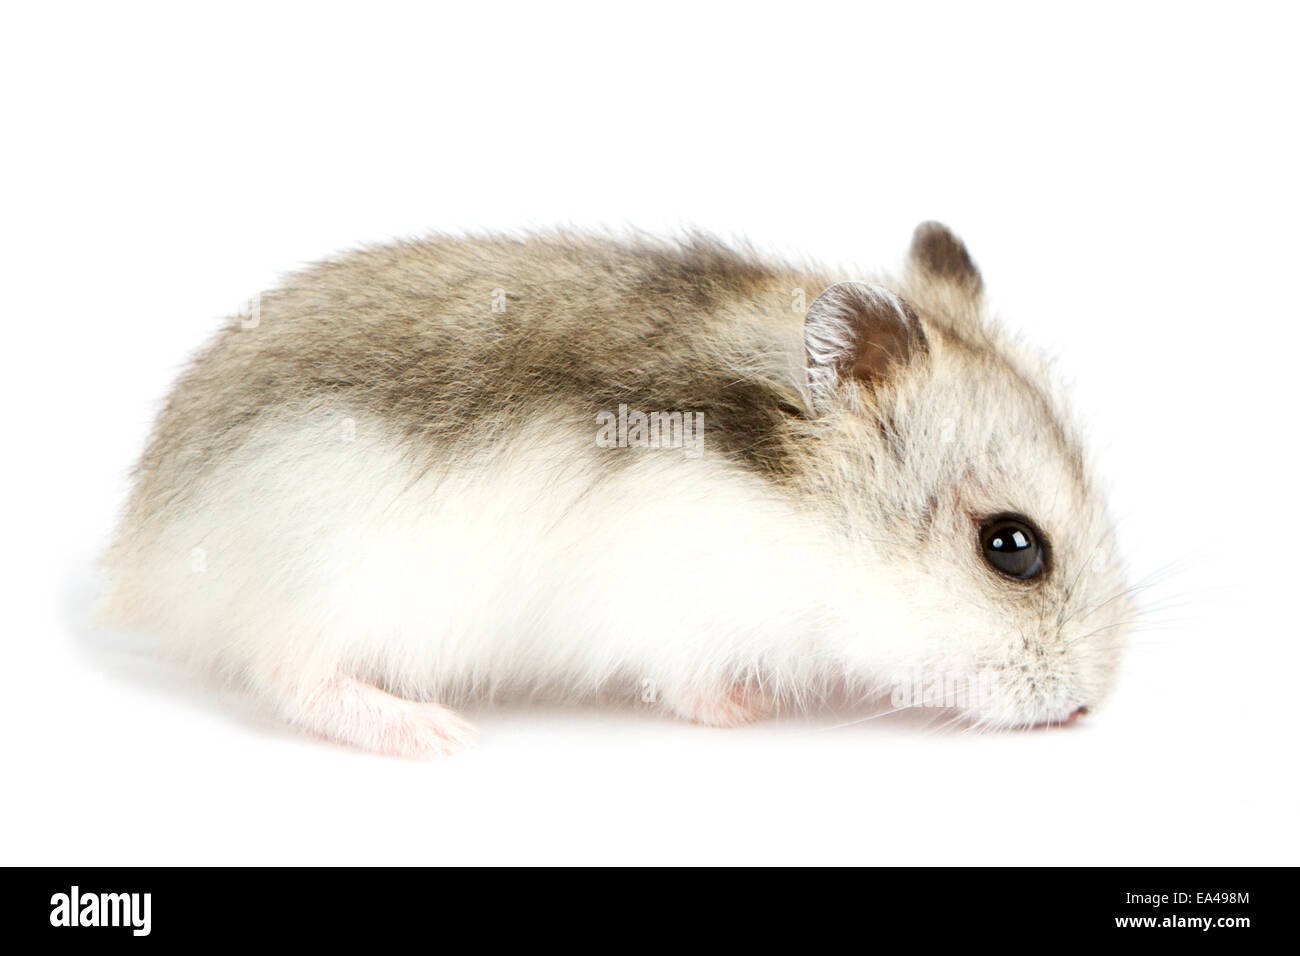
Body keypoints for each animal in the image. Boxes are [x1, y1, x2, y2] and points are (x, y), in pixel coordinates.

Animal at [99, 222, 1131, 757]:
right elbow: (692, 687)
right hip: (327, 588)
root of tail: (141, 557)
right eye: (1012, 547)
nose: (1090, 708)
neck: (807, 523)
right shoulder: (681, 621)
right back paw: (433, 732)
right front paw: (752, 711)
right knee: (293, 675)